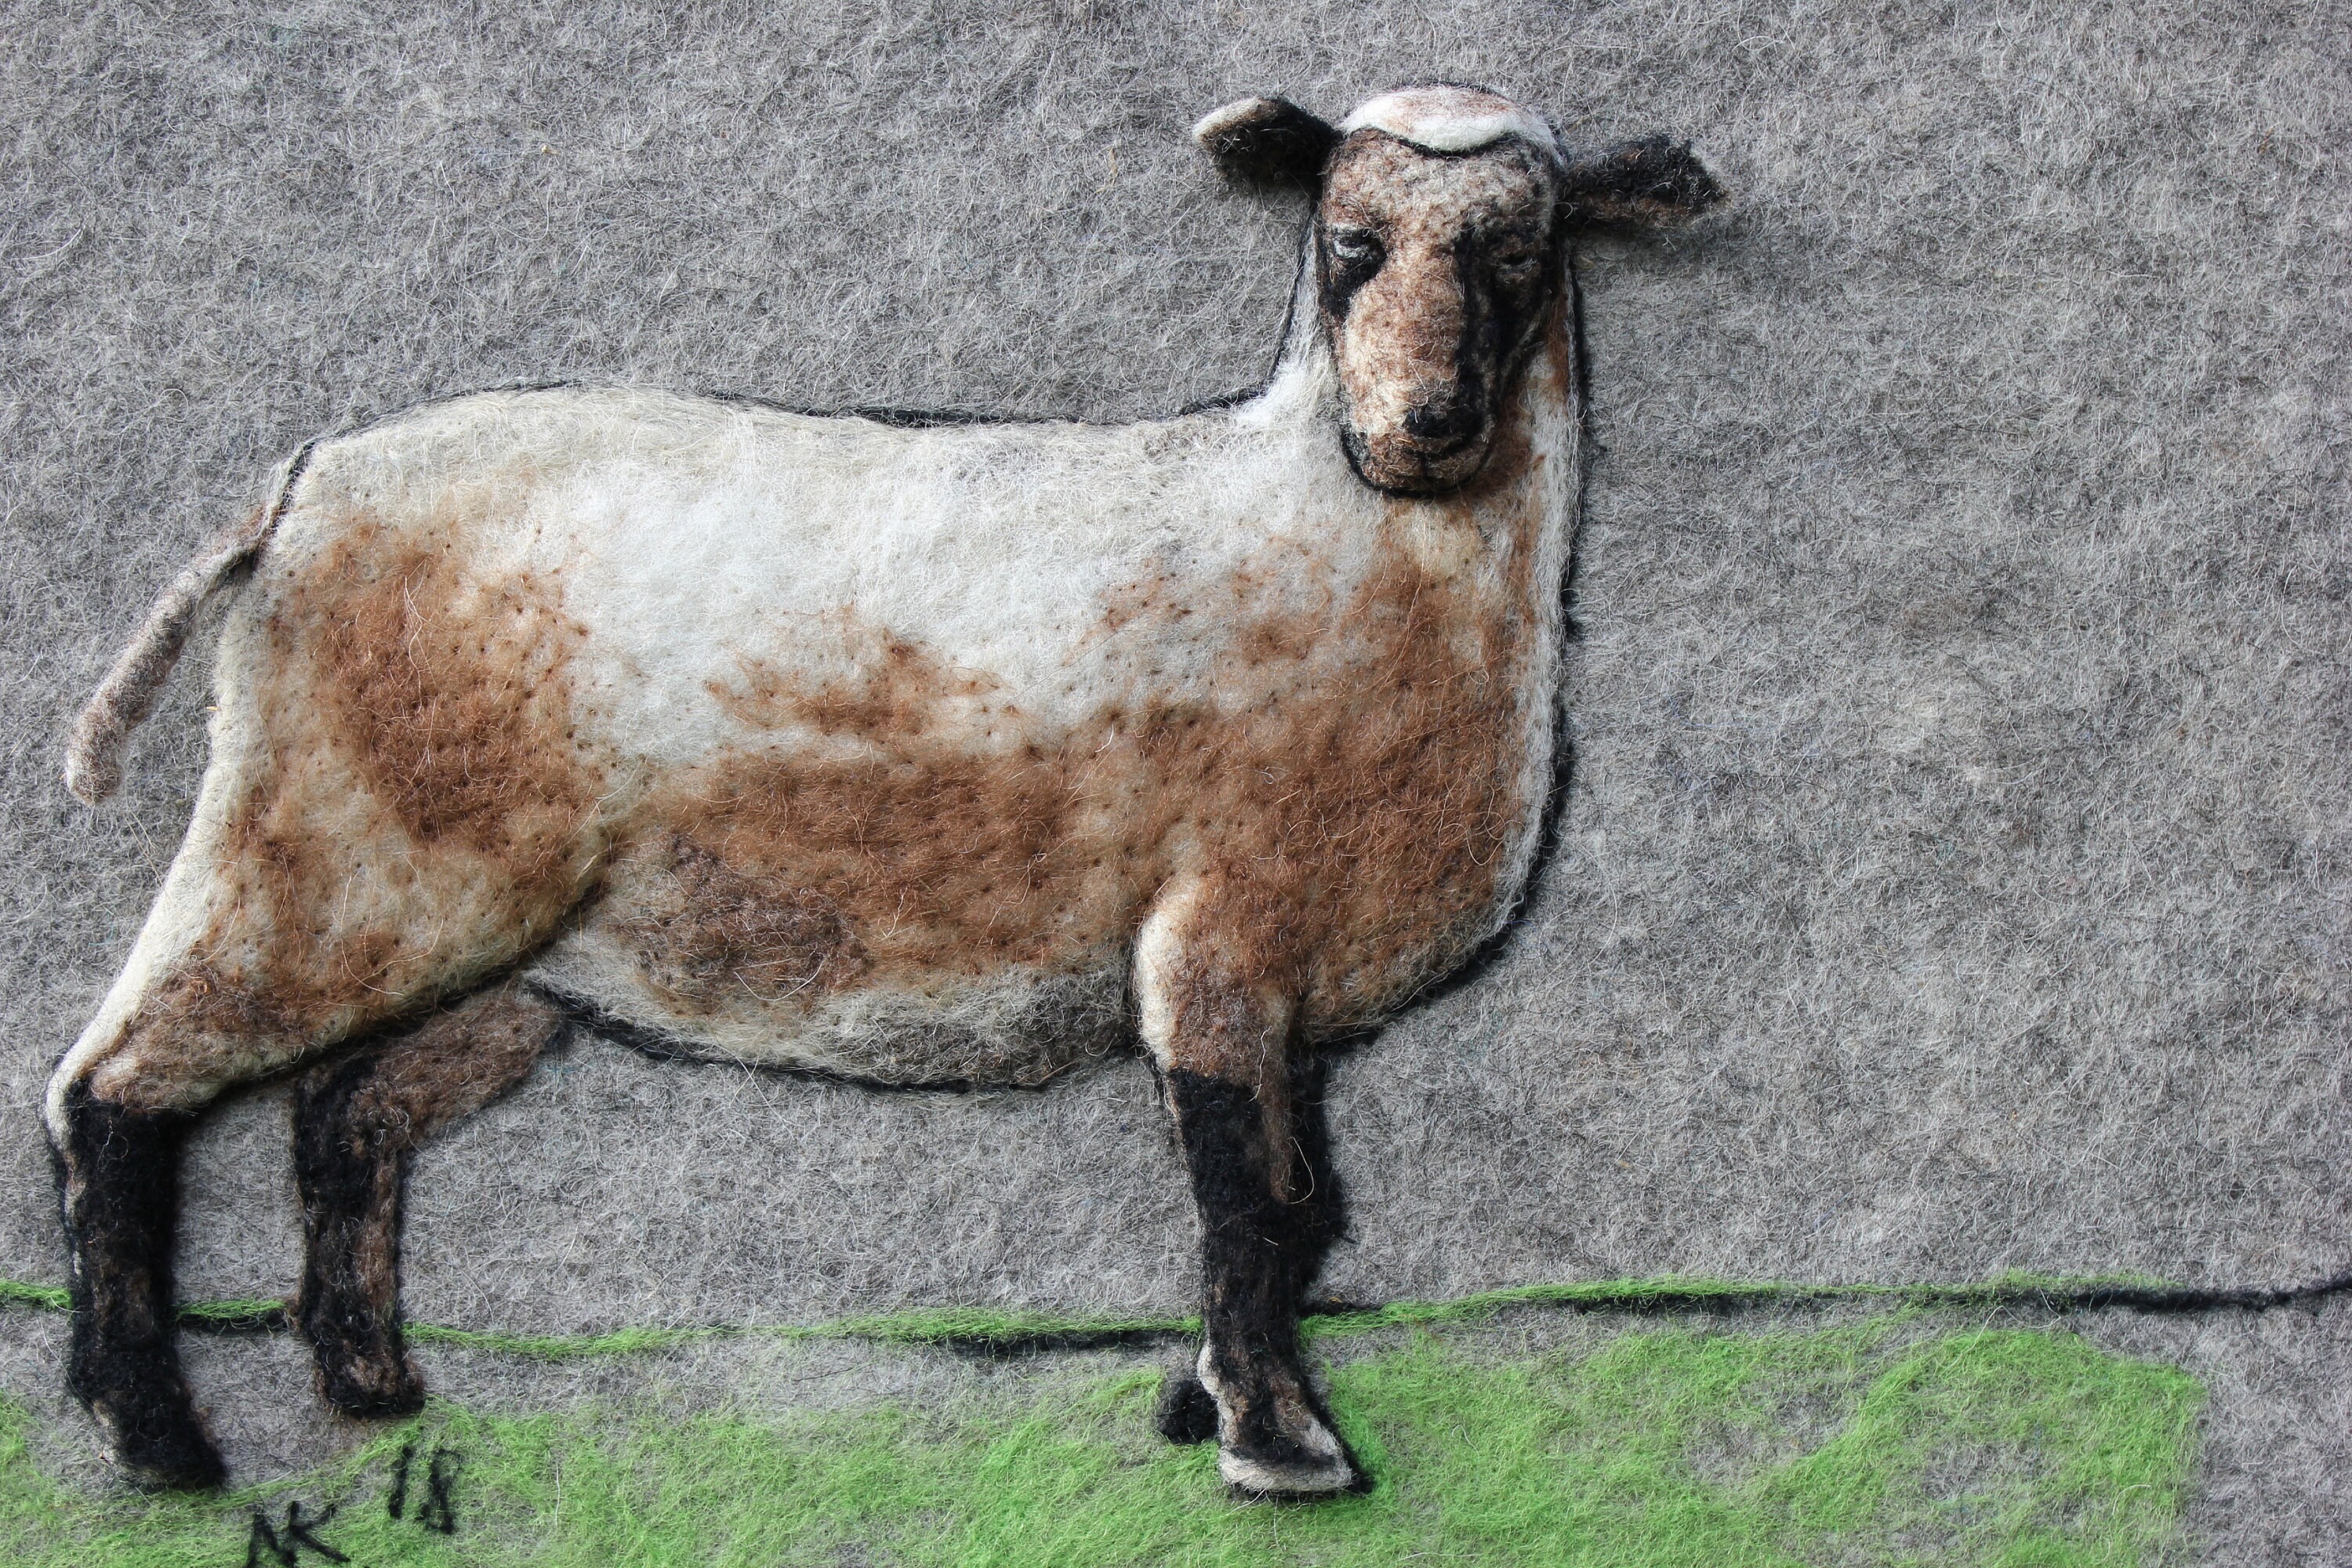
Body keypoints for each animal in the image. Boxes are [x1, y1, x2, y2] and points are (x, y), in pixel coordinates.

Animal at [50, 83, 1720, 1495]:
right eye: (1348, 246)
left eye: (1522, 251)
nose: (1424, 425)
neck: (1334, 526)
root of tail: (295, 492)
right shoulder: (1218, 935)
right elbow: (1248, 1198)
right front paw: (1279, 1447)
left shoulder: (1293, 985)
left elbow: (1306, 1211)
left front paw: (1200, 1404)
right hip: (322, 854)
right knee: (109, 1097)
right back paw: (157, 1443)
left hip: (485, 947)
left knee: (342, 1119)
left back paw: (368, 1388)